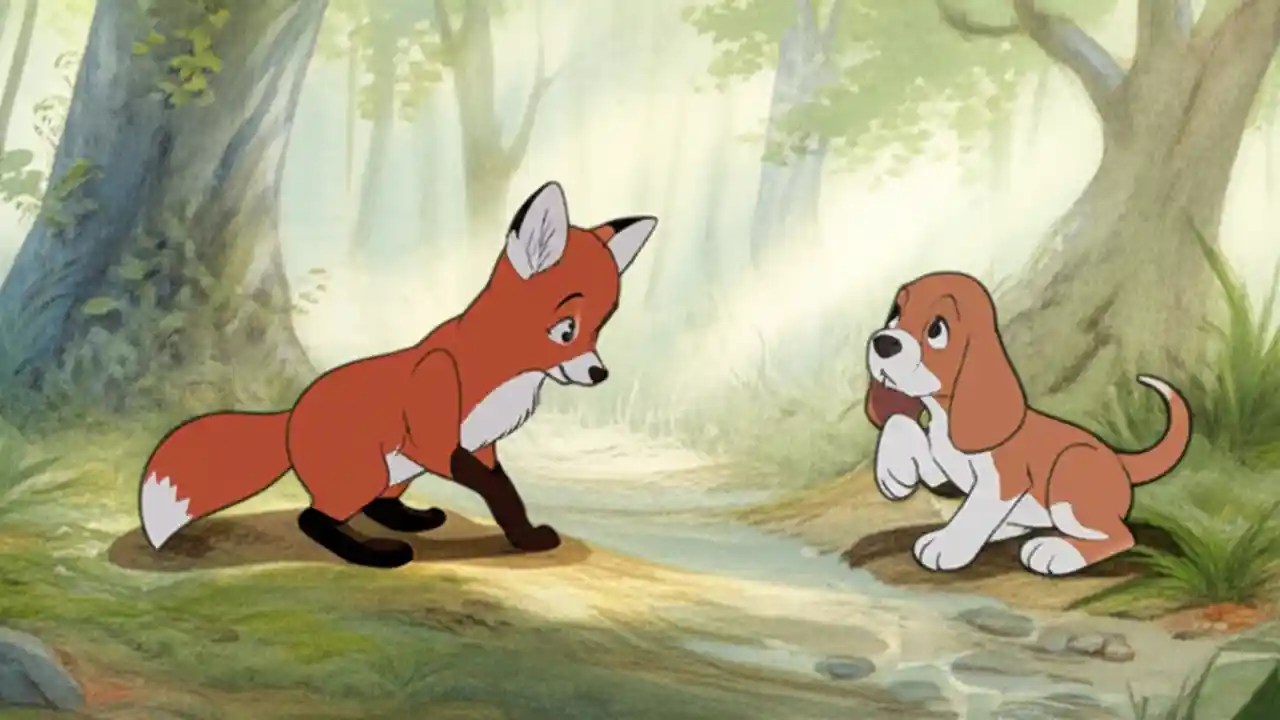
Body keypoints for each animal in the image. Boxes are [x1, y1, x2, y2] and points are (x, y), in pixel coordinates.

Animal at [138, 181, 658, 568]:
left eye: (600, 326)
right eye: (566, 329)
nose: (599, 372)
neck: (502, 372)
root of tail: (290, 415)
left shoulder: (481, 446)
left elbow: (506, 493)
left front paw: (526, 538)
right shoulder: (437, 429)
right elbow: (496, 489)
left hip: (394, 472)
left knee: (376, 504)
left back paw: (409, 520)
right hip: (365, 468)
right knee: (315, 518)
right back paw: (375, 553)